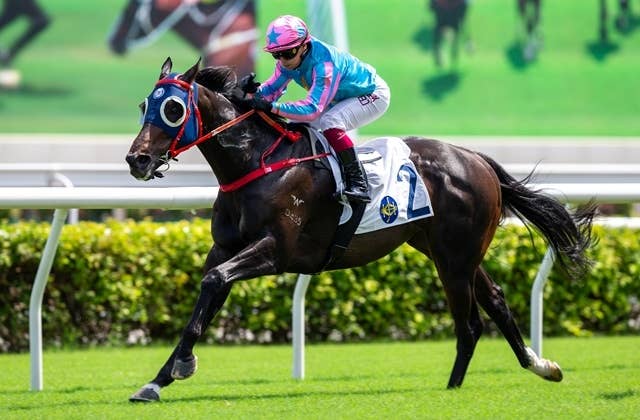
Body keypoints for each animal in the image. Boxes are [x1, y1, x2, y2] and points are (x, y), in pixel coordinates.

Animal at [125, 58, 596, 402]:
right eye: (144, 105)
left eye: (173, 109)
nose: (137, 160)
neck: (258, 162)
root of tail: (475, 157)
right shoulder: (225, 249)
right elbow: (205, 299)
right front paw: (157, 380)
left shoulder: (276, 250)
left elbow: (213, 283)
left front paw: (180, 367)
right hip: (446, 249)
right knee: (495, 302)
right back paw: (539, 366)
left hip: (454, 258)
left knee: (470, 323)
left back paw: (455, 388)